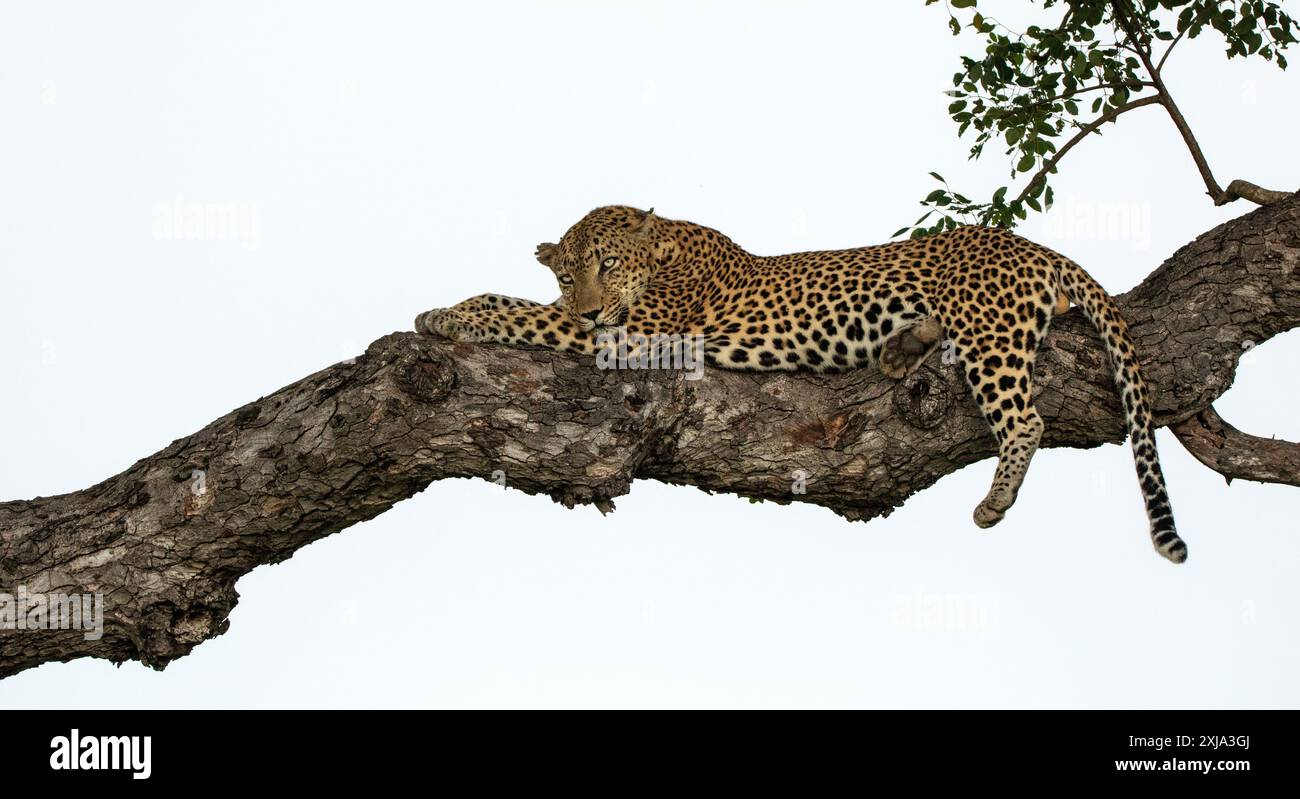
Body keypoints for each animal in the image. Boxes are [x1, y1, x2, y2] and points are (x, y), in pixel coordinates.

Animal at [415, 205, 1186, 563]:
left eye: (606, 264)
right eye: (569, 273)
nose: (589, 307)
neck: (663, 250)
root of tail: (1035, 246)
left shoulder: (635, 334)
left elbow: (514, 308)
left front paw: (443, 314)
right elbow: (523, 302)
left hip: (989, 332)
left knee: (1026, 419)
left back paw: (993, 502)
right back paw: (903, 347)